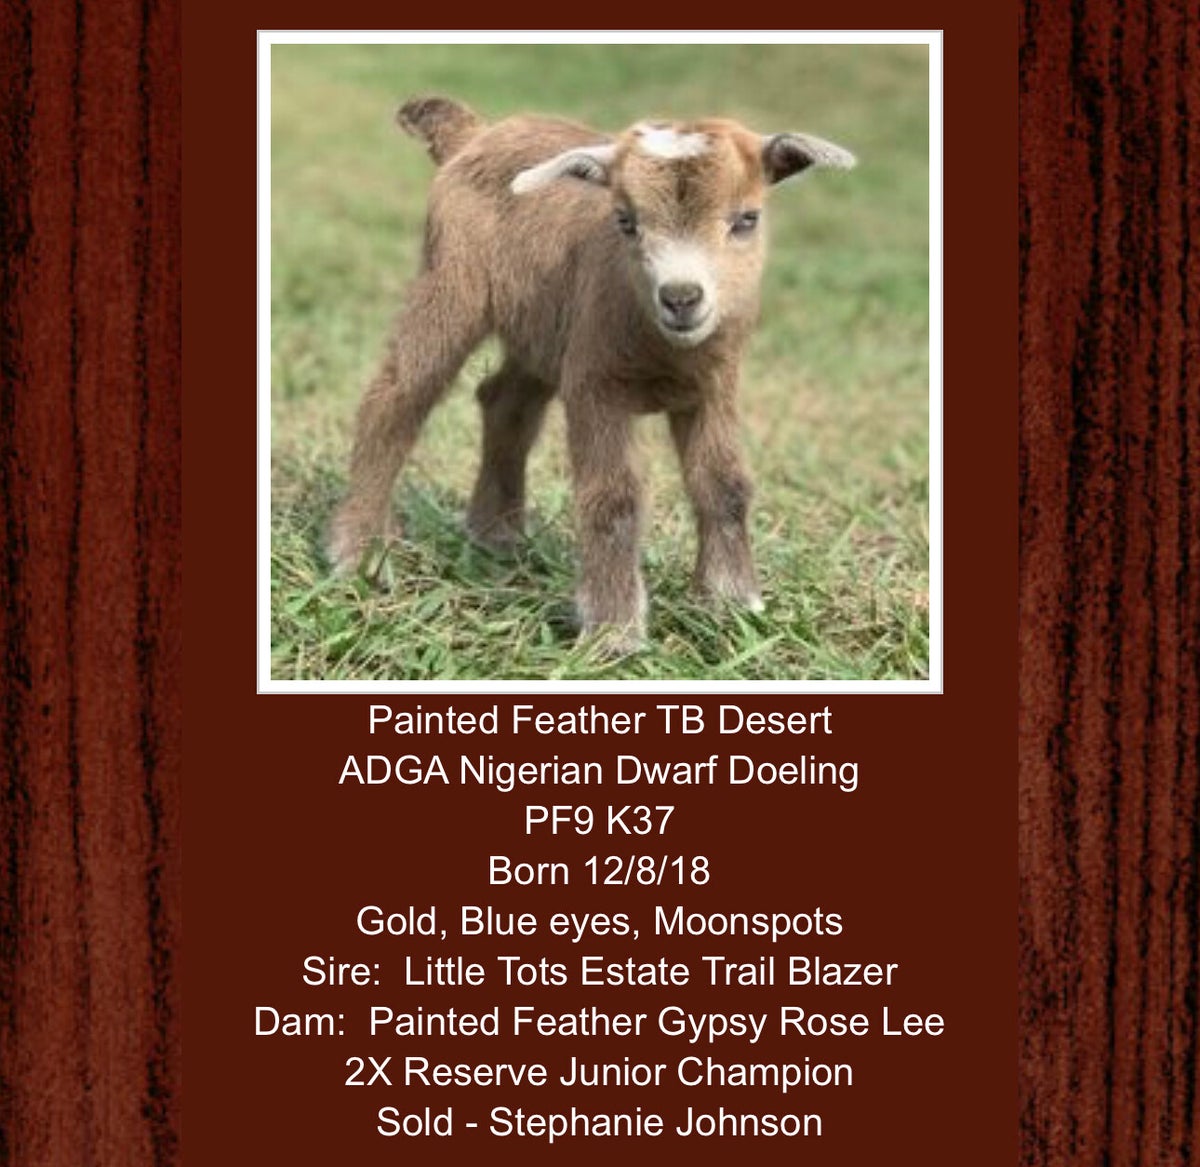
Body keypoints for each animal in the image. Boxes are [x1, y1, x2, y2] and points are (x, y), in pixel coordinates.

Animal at [328, 95, 854, 651]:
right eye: (625, 221)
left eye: (747, 219)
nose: (681, 298)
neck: (664, 352)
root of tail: (473, 134)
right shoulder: (595, 386)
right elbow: (613, 498)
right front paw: (614, 630)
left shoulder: (714, 386)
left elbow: (724, 486)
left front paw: (732, 605)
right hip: (452, 280)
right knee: (398, 395)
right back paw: (357, 552)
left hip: (545, 326)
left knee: (504, 401)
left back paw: (497, 534)